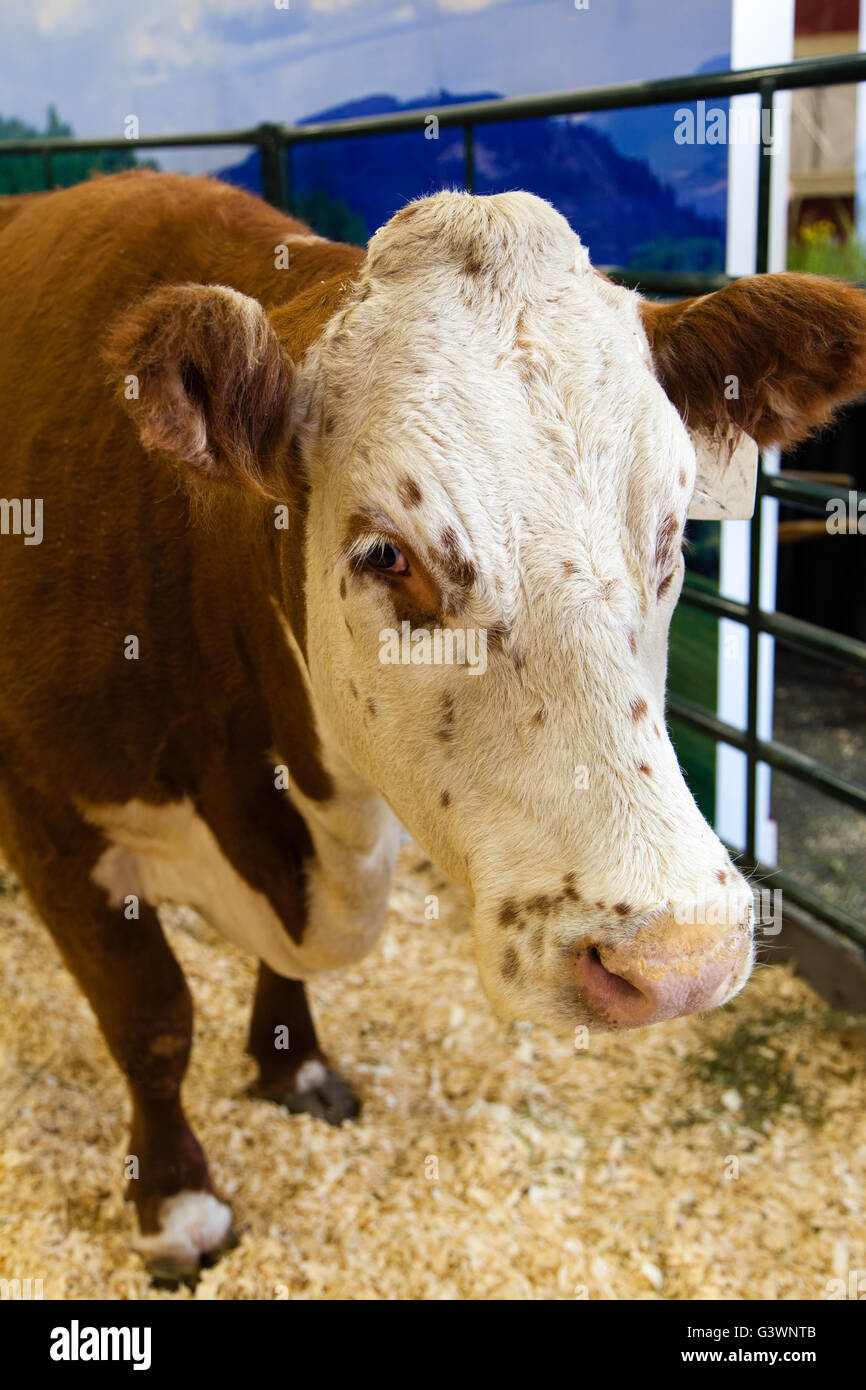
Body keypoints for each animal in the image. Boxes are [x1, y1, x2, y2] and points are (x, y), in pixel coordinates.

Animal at [1, 170, 865, 1284]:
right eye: (387, 554)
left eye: (673, 532)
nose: (677, 958)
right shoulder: (50, 815)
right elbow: (150, 1018)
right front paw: (179, 1206)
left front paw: (293, 1065)